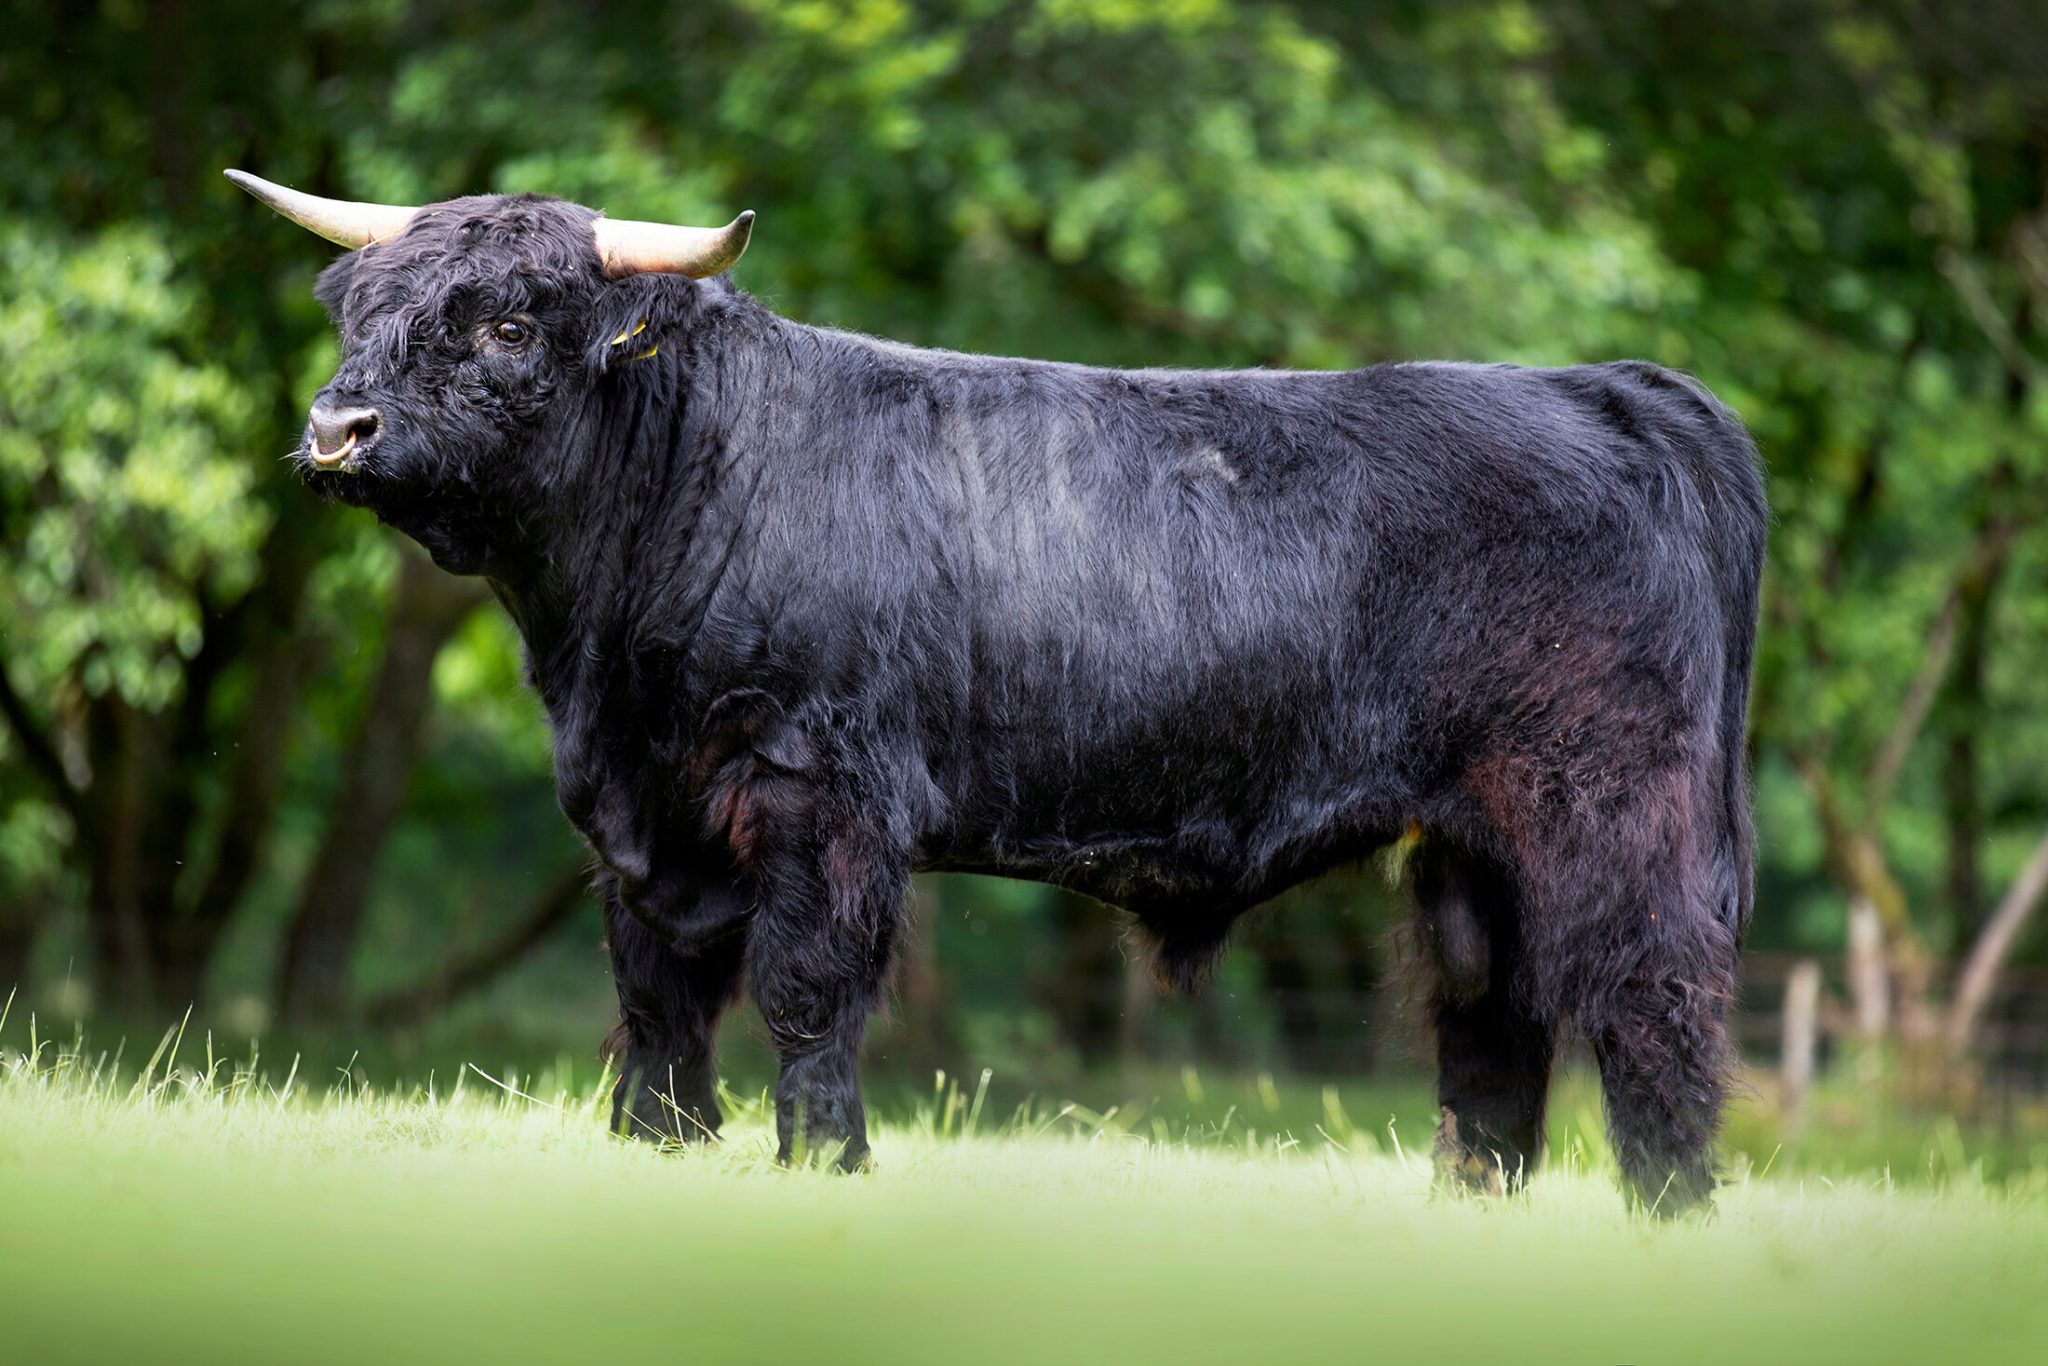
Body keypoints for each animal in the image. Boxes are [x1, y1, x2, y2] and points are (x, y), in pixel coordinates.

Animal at [229, 169, 1765, 1213]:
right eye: (355, 309)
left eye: (506, 322)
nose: (337, 426)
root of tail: (1606, 390)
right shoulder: (647, 821)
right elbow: (658, 997)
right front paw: (656, 1152)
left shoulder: (819, 788)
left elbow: (803, 988)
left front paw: (824, 1163)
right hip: (1468, 843)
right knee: (1492, 1020)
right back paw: (1472, 1214)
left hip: (1607, 802)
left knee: (1654, 994)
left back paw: (1667, 1213)